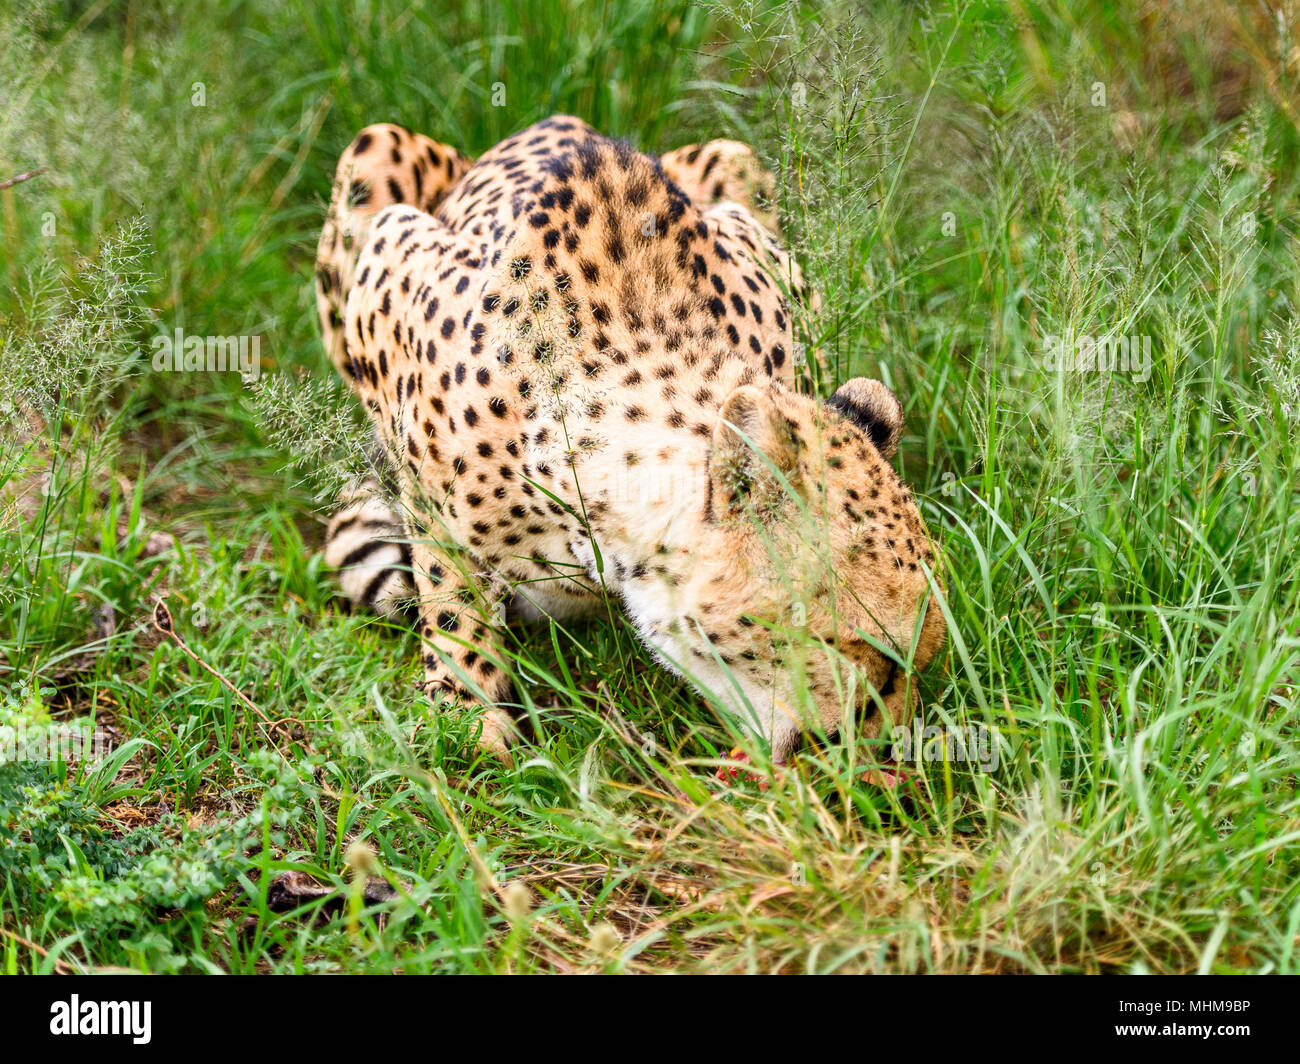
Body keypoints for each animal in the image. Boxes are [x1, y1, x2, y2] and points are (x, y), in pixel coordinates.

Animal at [313, 115, 945, 773]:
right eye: (874, 662)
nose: (892, 751)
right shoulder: (390, 260)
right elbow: (446, 577)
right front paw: (470, 716)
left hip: (734, 157)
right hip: (373, 149)